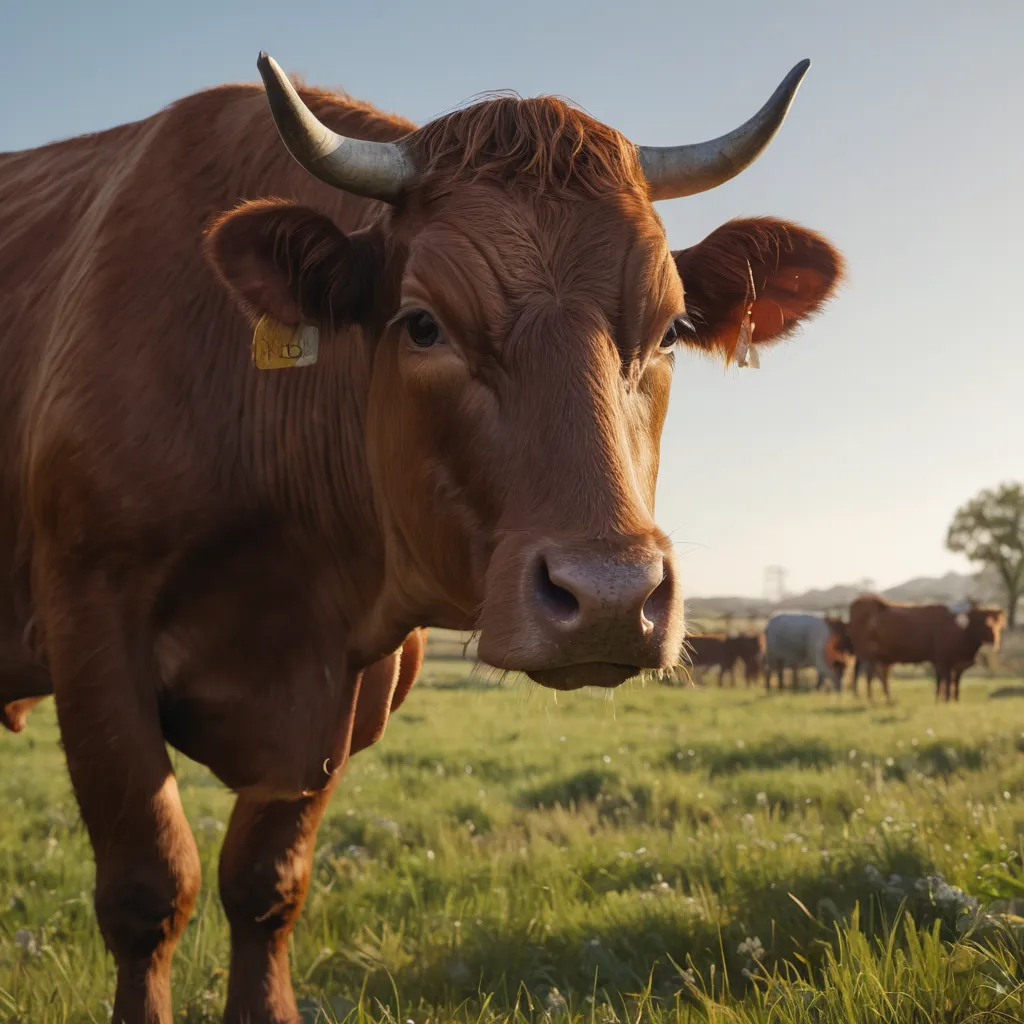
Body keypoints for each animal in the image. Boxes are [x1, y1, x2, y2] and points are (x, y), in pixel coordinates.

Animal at [0, 51, 843, 1023]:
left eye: (668, 329)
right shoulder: (93, 636)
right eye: (423, 323)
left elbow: (267, 883)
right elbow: (149, 891)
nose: (610, 596)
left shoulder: (346, 688)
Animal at [847, 595, 1005, 702]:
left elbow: (952, 682)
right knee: (871, 676)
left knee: (880, 677)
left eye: (998, 623)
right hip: (869, 655)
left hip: (882, 657)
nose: (995, 639)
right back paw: (873, 700)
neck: (961, 630)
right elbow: (946, 681)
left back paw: (887, 700)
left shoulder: (955, 664)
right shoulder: (944, 661)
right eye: (984, 621)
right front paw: (945, 700)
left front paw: (951, 700)